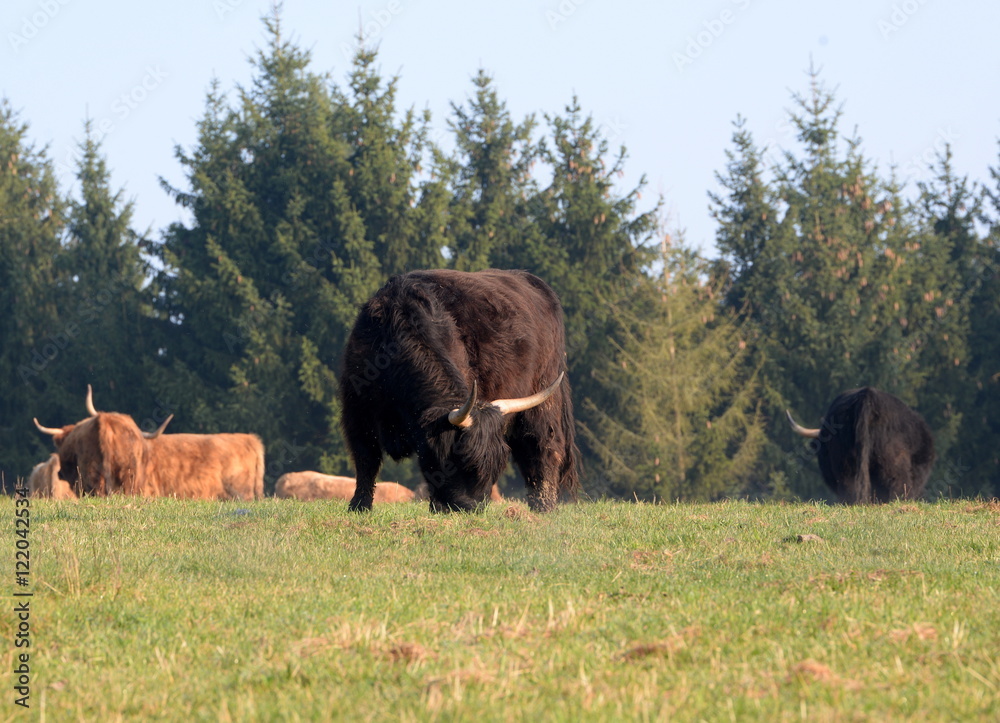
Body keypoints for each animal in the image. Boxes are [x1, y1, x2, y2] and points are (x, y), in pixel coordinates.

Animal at [340, 269, 580, 513]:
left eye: (495, 467)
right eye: (463, 460)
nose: (475, 507)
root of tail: (530, 279)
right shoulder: (356, 409)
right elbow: (366, 458)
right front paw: (359, 505)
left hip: (543, 396)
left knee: (543, 445)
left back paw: (543, 506)